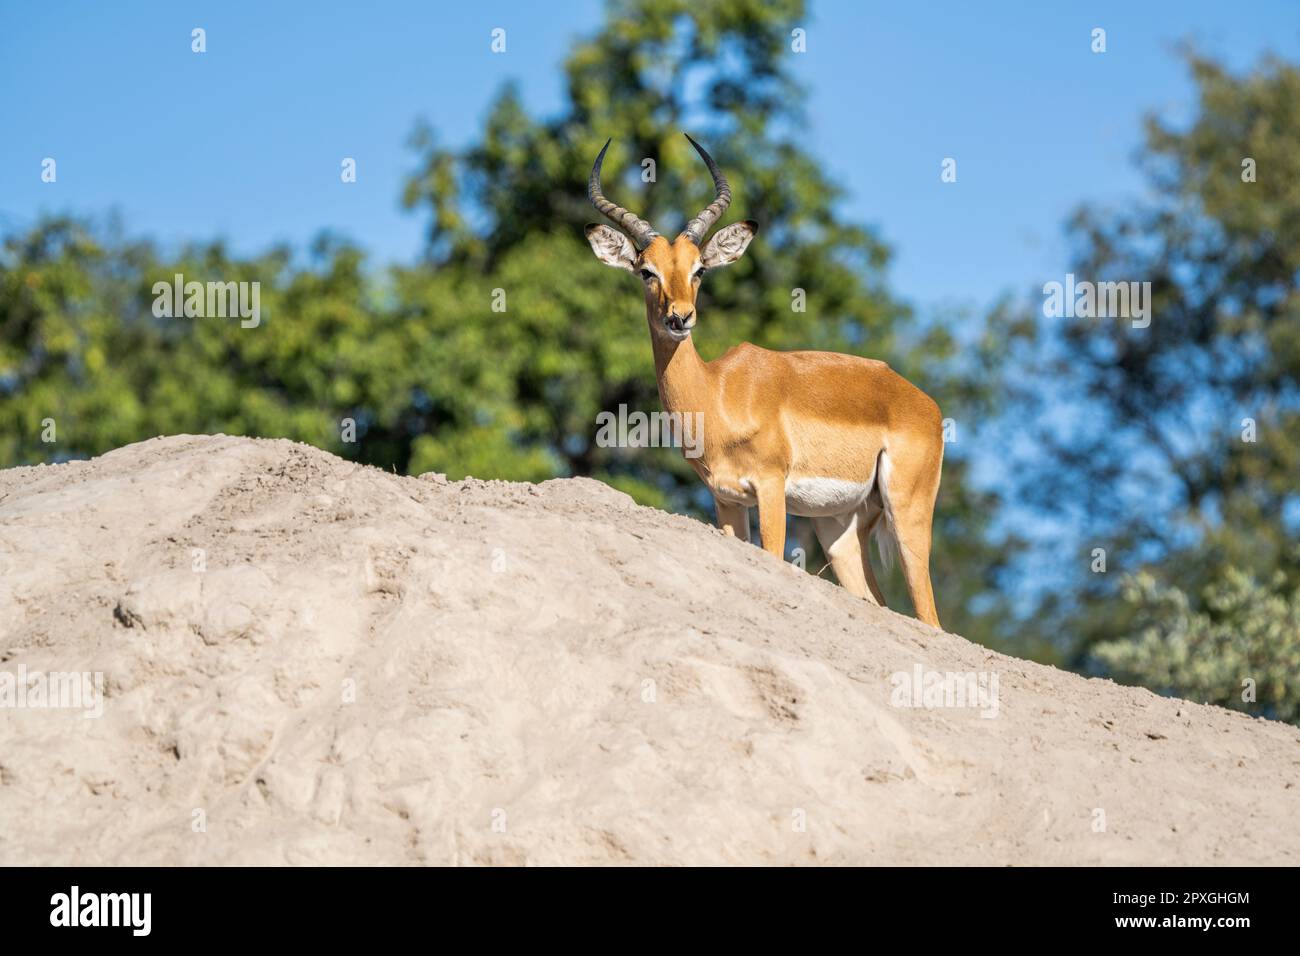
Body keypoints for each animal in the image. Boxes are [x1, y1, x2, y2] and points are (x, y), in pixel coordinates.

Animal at [585, 135, 944, 628]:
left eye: (699, 269)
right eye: (646, 271)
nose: (680, 318)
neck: (716, 393)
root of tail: (925, 404)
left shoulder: (770, 489)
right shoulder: (727, 500)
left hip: (907, 512)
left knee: (931, 618)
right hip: (839, 525)